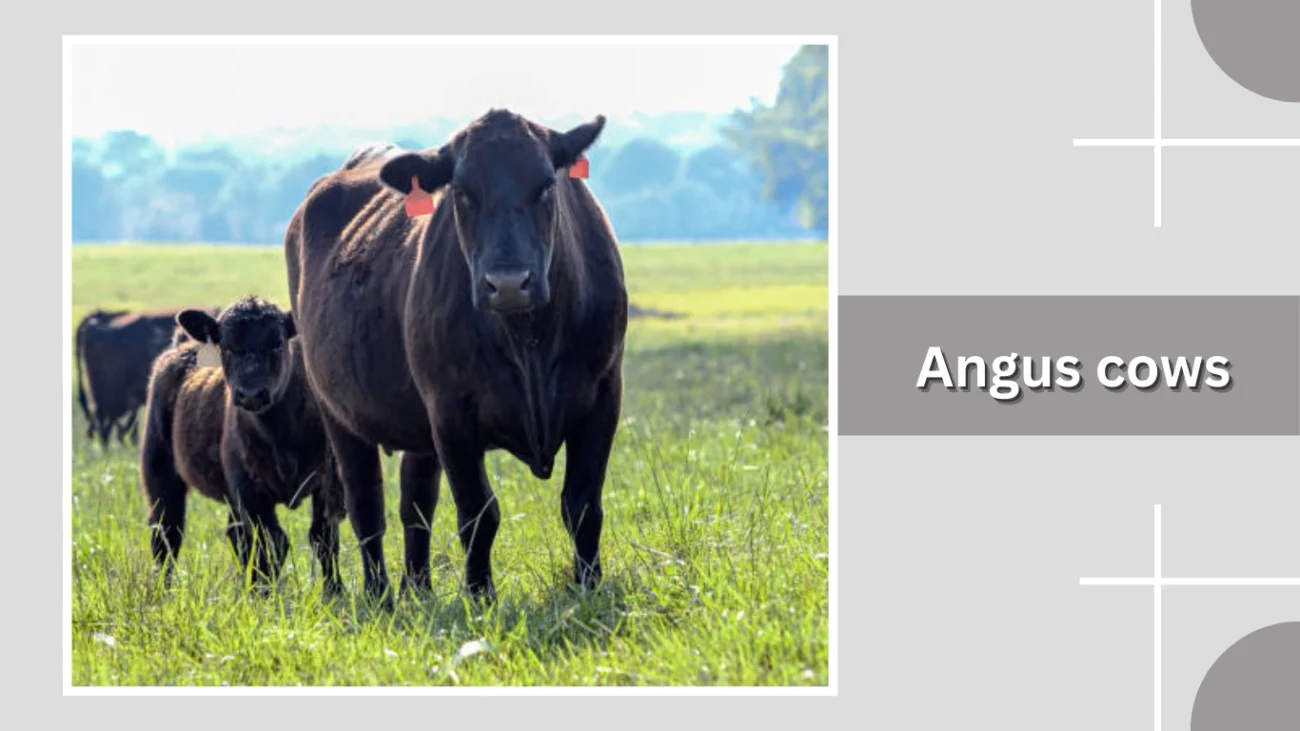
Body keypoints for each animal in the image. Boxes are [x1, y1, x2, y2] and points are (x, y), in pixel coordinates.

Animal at [137, 295, 345, 596]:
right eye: (226, 346)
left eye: (277, 343)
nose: (251, 394)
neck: (282, 434)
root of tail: (180, 346)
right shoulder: (249, 489)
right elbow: (271, 542)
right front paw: (265, 593)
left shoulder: (328, 482)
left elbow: (323, 538)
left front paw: (335, 591)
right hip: (160, 473)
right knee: (167, 535)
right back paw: (163, 591)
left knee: (234, 535)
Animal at [285, 109, 628, 606]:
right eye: (463, 192)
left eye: (546, 185)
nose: (508, 283)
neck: (527, 339)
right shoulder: (451, 413)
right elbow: (479, 514)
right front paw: (481, 595)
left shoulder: (603, 397)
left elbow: (582, 505)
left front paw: (589, 586)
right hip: (337, 411)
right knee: (366, 503)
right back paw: (380, 594)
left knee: (415, 503)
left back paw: (419, 588)